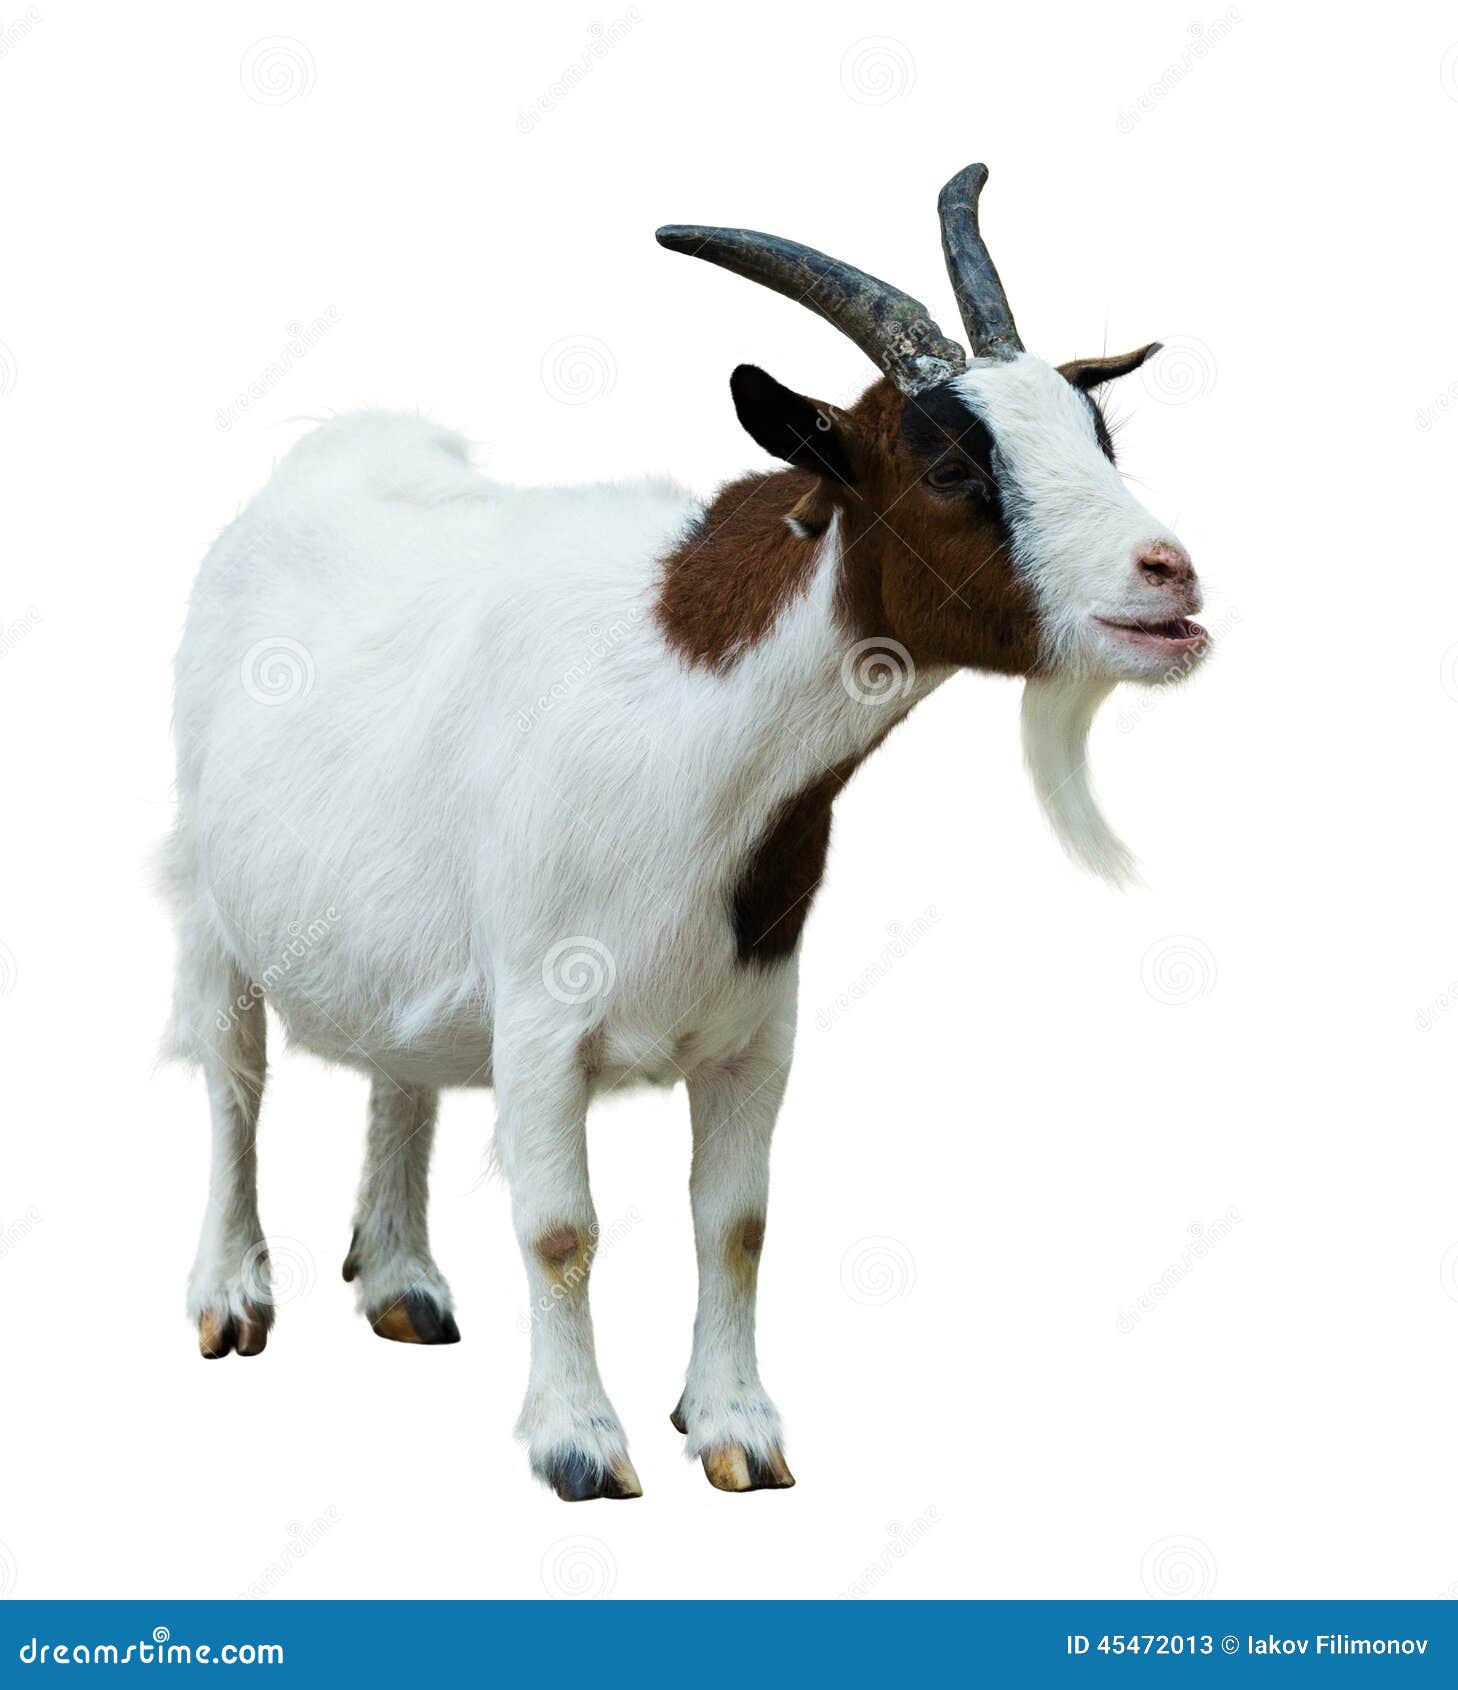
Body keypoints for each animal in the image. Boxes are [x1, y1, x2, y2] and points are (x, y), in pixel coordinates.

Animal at [164, 164, 1208, 1500]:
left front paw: (736, 1428)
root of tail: (341, 446)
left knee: (401, 1068)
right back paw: (230, 1296)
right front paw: (578, 1442)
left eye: (1098, 435)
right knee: (231, 1079)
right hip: (210, 894)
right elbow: (561, 1227)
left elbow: (738, 1221)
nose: (1168, 576)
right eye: (948, 467)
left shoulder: (758, 1024)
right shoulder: (543, 1015)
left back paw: (401, 1285)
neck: (701, 729)